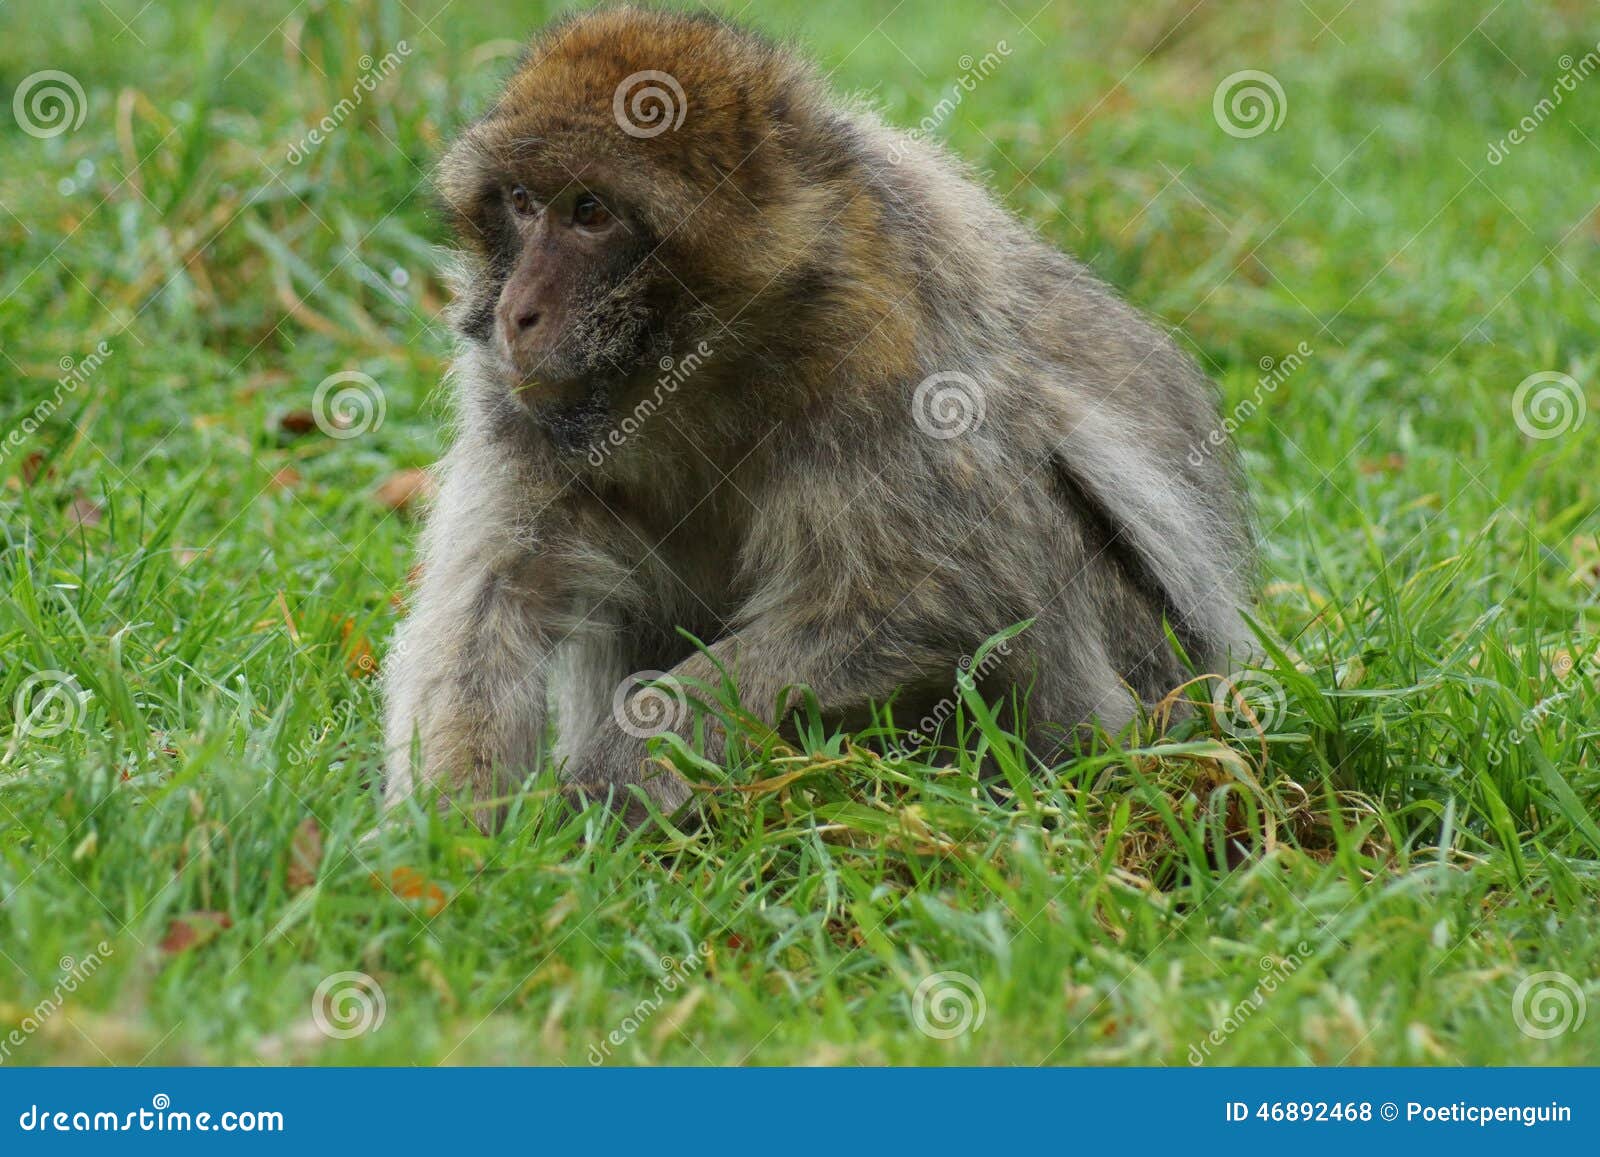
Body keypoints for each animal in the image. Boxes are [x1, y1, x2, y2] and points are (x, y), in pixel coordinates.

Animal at [382, 6, 1254, 825]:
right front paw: (456, 842)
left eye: (590, 212)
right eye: (522, 203)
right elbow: (493, 602)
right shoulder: (518, 399)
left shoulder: (896, 364)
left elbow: (940, 597)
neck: (704, 353)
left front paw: (617, 772)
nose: (517, 313)